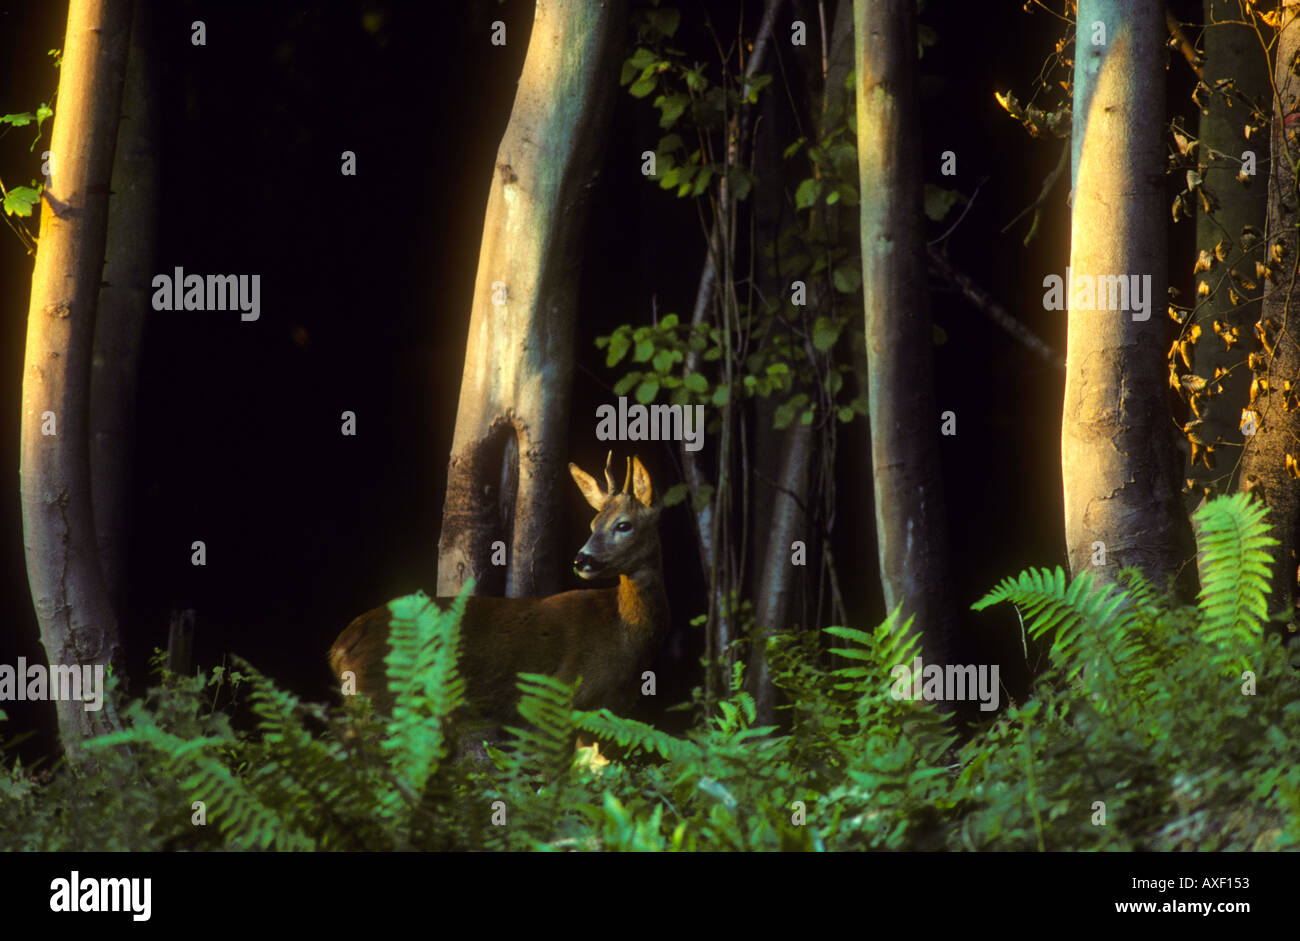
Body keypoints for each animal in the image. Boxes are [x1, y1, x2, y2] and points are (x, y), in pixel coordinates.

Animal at [327, 453, 668, 726]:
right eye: (593, 524)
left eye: (623, 525)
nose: (581, 560)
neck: (623, 632)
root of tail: (339, 646)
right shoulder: (567, 700)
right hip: (383, 698)